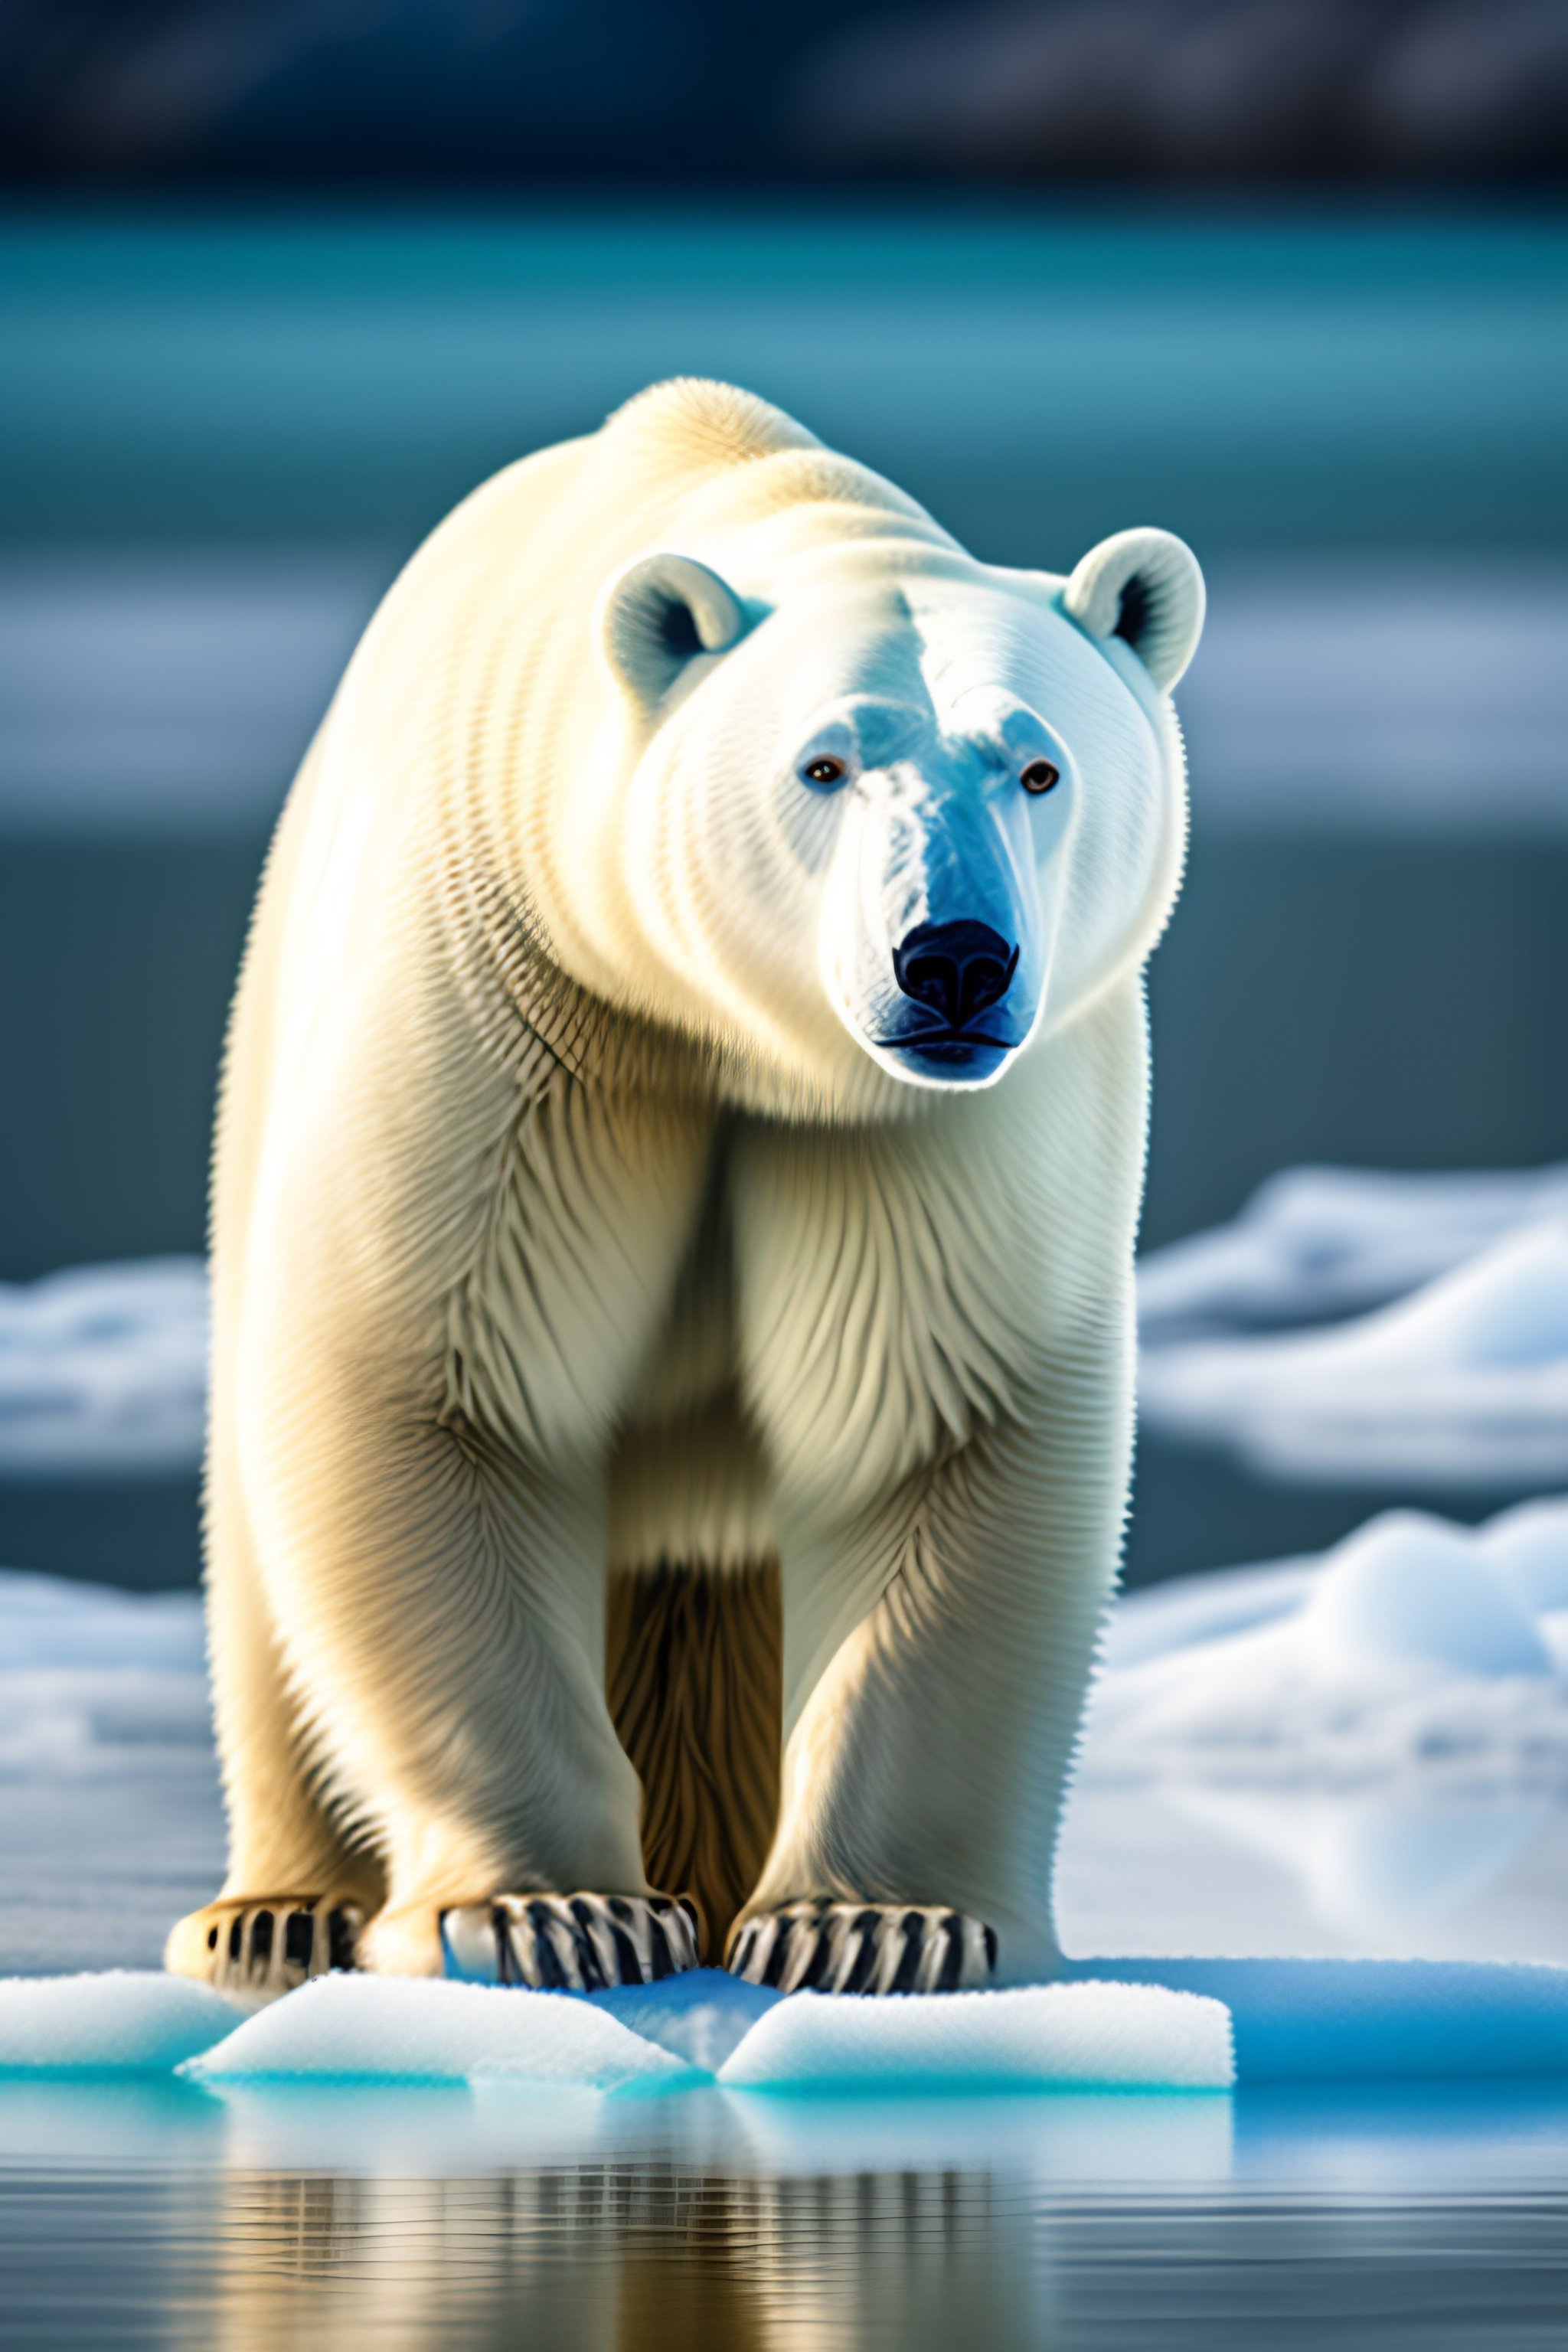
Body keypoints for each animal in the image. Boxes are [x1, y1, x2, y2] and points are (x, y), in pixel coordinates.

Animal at [165, 378, 1202, 2005]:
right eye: (823, 764)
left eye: (1037, 767)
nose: (952, 961)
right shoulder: (526, 1005)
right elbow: (440, 1383)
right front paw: (548, 1915)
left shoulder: (920, 1126)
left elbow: (932, 1419)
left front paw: (879, 1928)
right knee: (264, 1574)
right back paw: (276, 1911)